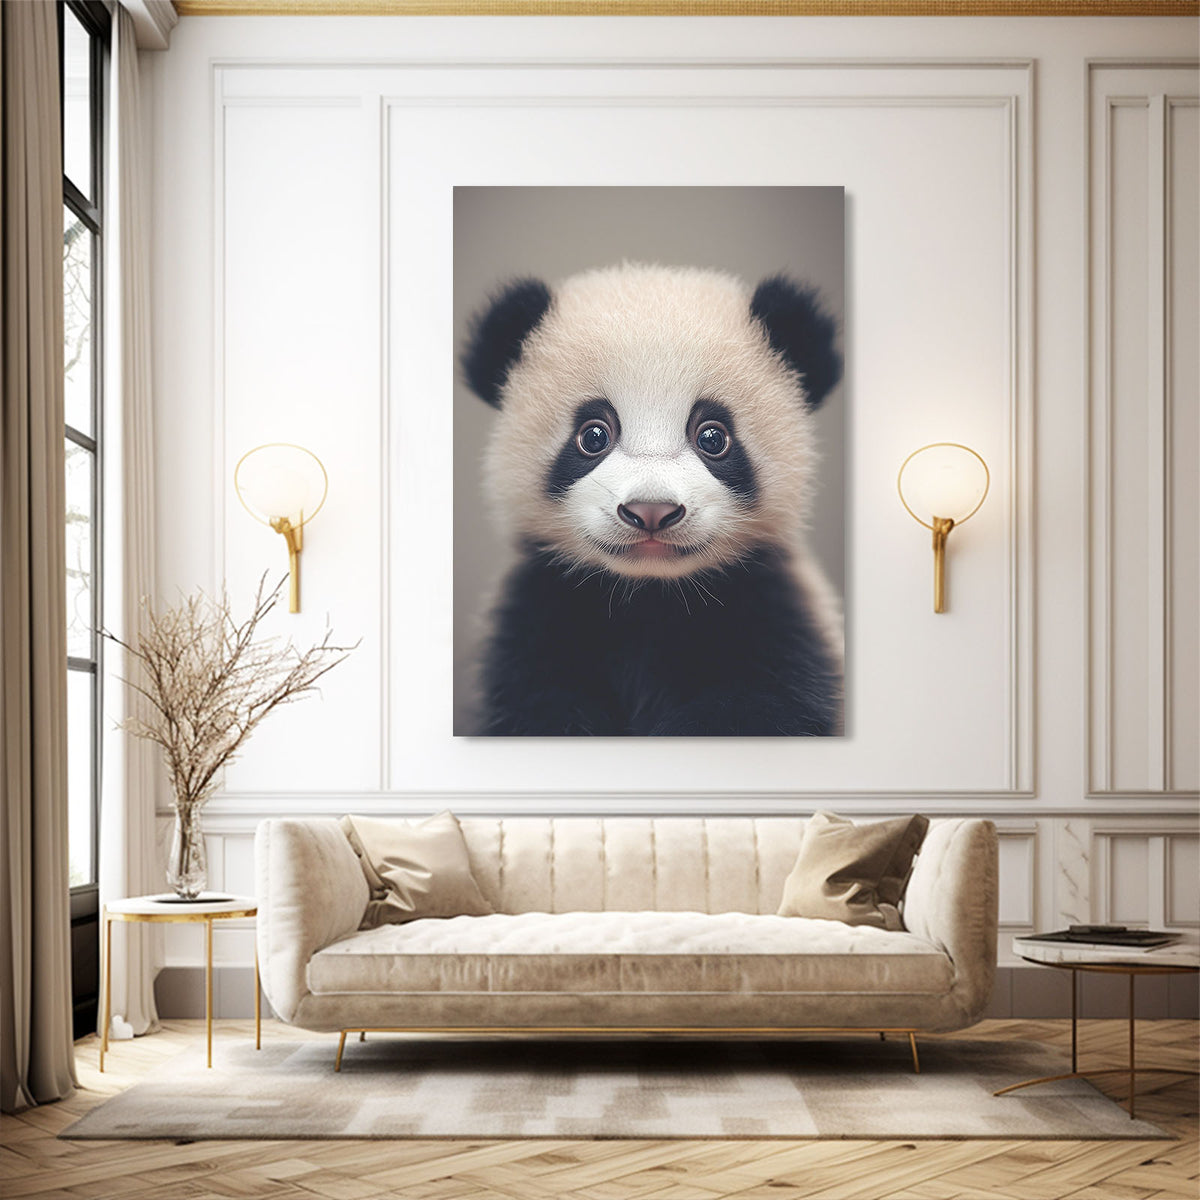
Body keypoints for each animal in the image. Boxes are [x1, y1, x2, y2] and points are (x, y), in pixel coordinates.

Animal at [461, 263, 843, 737]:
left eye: (713, 437)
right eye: (593, 435)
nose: (651, 511)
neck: (648, 595)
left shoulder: (776, 618)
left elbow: (759, 707)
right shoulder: (539, 619)